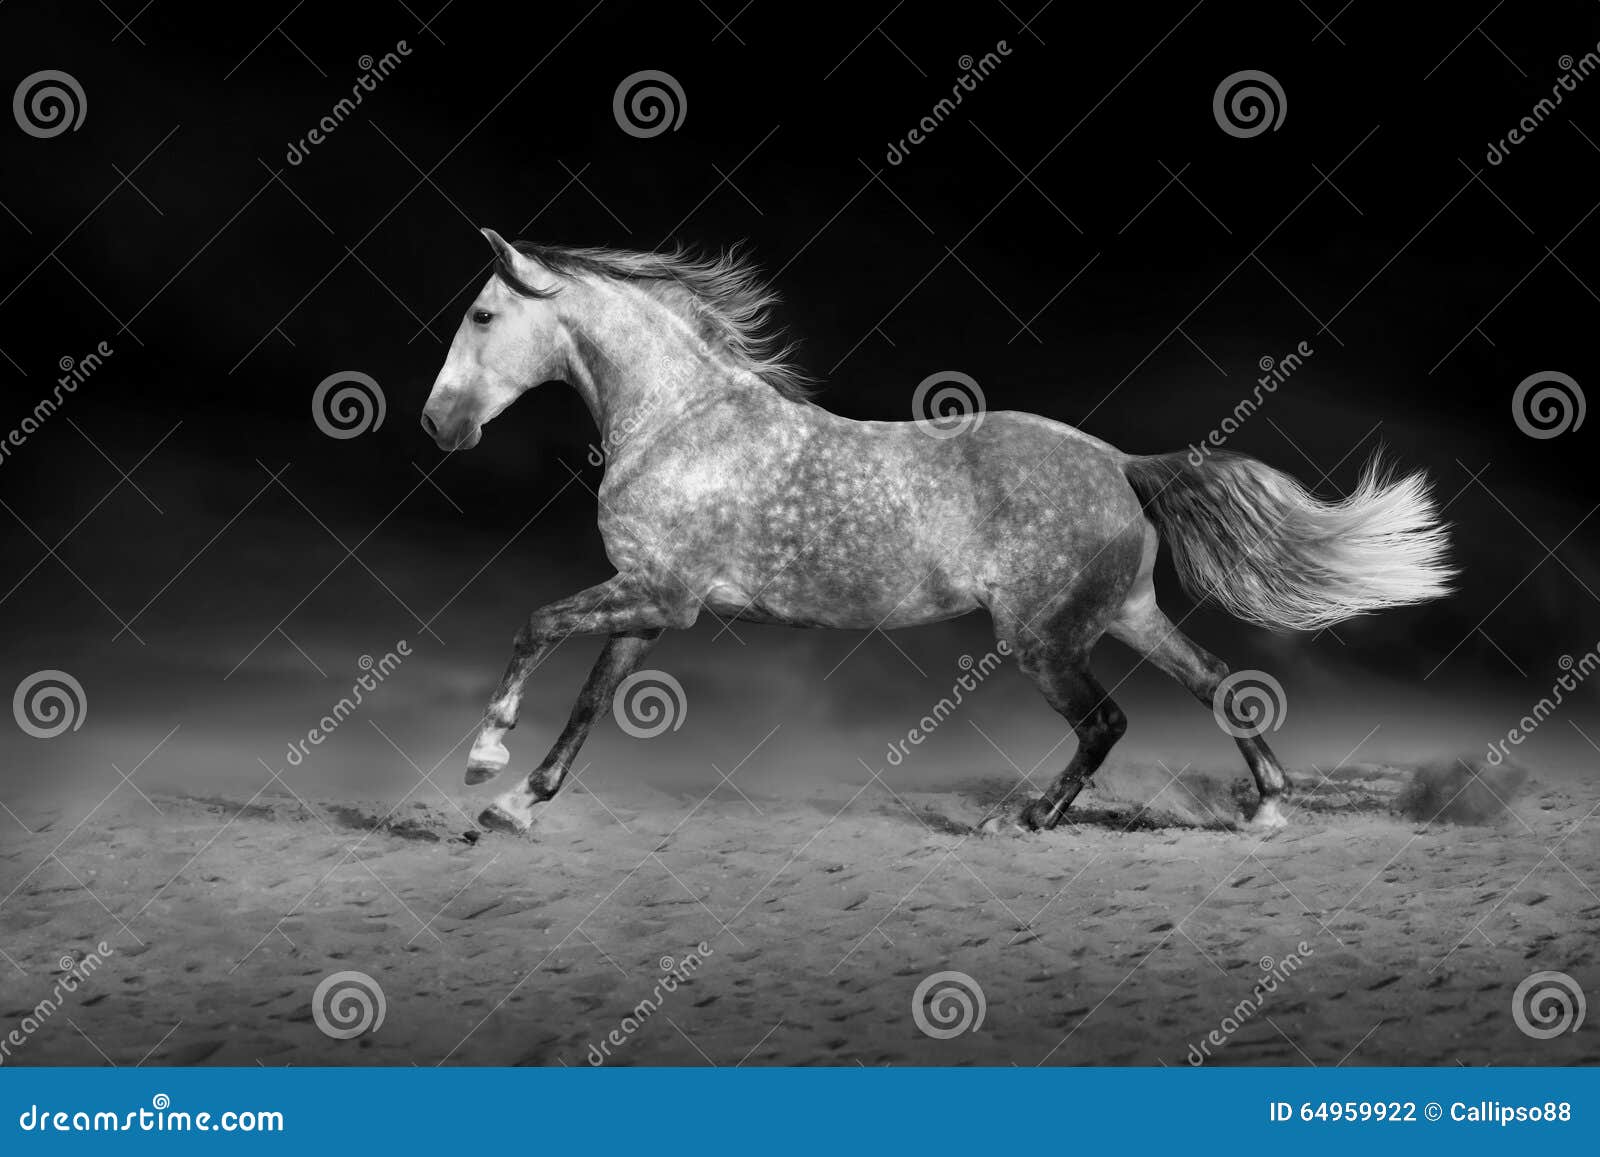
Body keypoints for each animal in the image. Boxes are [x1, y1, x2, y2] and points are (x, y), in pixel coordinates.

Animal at [421, 229, 1453, 836]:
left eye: (483, 313)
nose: (436, 424)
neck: (682, 422)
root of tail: (1121, 463)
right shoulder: (651, 607)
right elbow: (591, 699)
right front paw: (516, 802)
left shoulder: (659, 596)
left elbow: (535, 626)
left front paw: (482, 760)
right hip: (1123, 614)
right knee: (1217, 683)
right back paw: (1268, 810)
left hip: (1042, 638)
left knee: (1108, 720)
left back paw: (1025, 820)